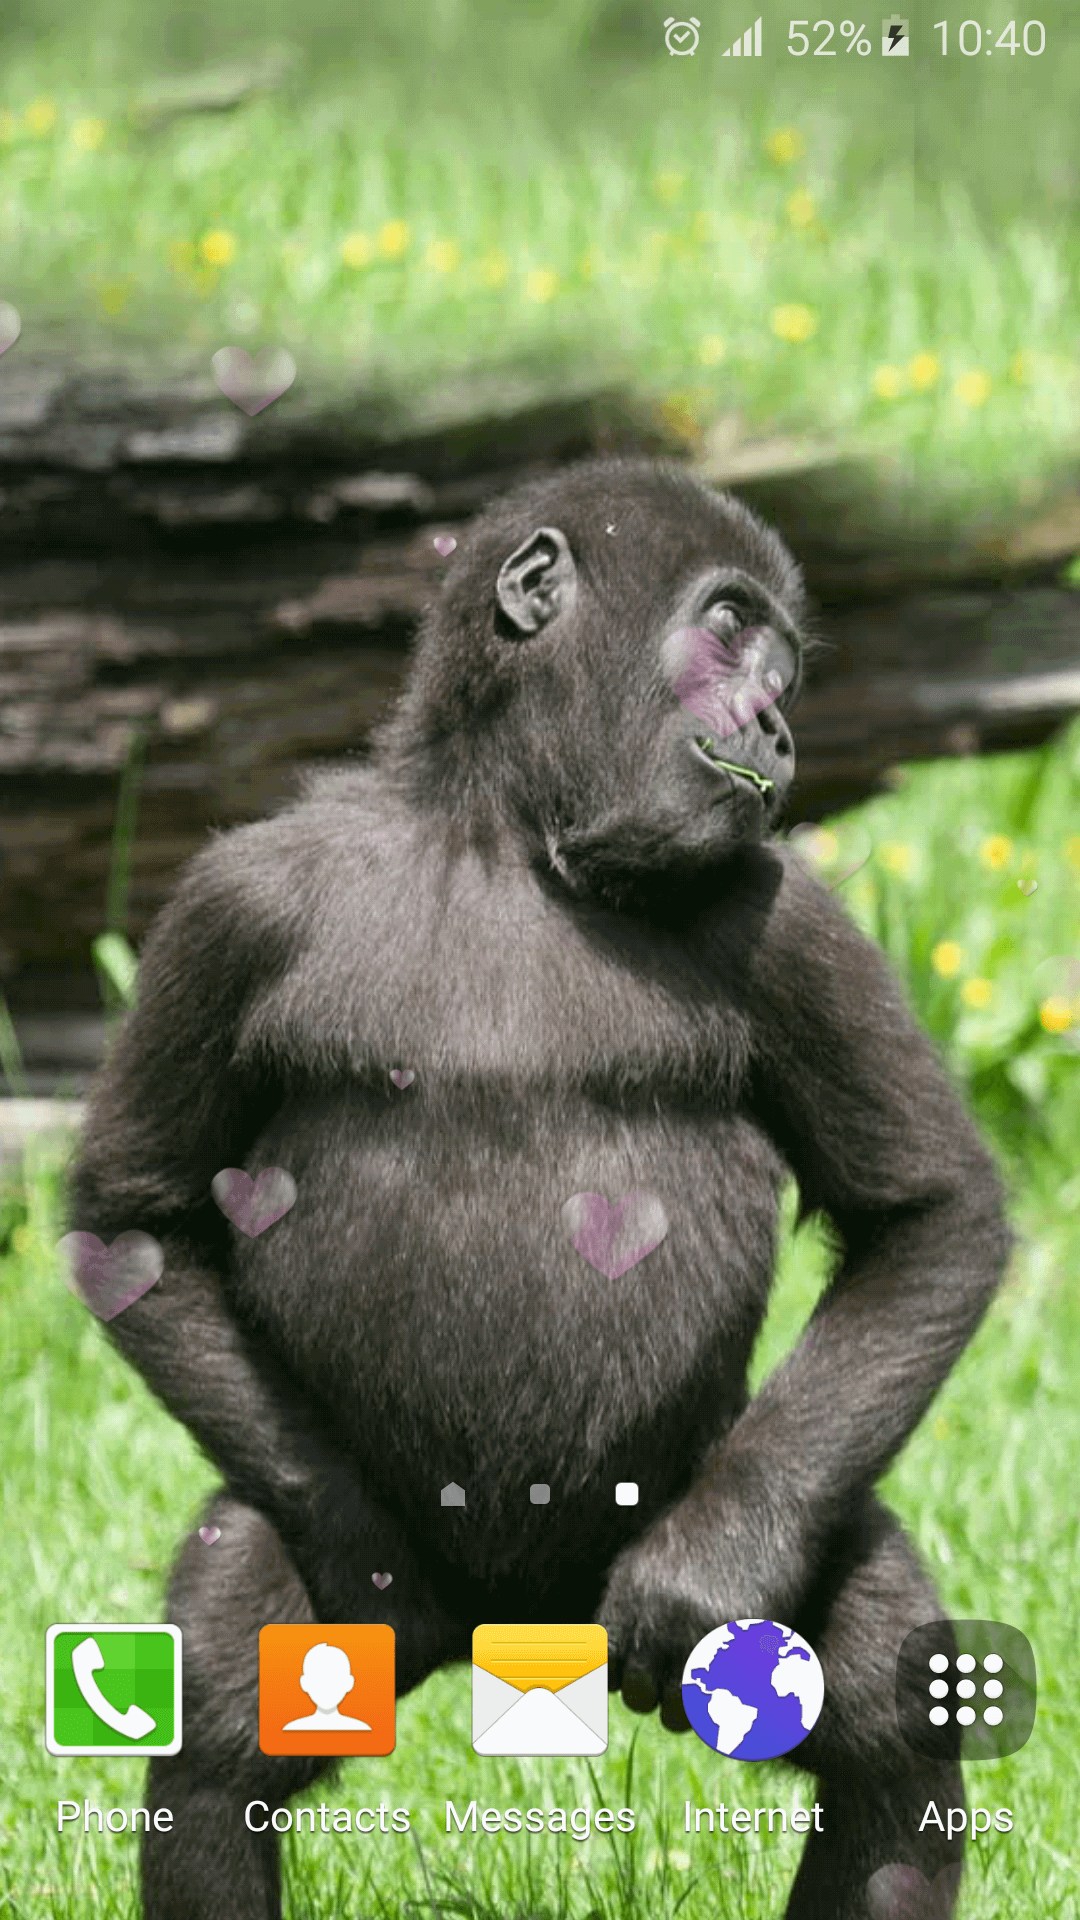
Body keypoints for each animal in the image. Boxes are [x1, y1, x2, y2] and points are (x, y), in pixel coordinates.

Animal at [71, 457, 1010, 1920]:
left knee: (888, 1703)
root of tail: (518, 1619)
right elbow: (136, 1215)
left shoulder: (786, 909)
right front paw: (372, 1568)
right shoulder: (237, 901)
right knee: (221, 1715)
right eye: (730, 627)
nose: (777, 721)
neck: (508, 830)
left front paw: (699, 1580)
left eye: (783, 664)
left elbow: (928, 1215)